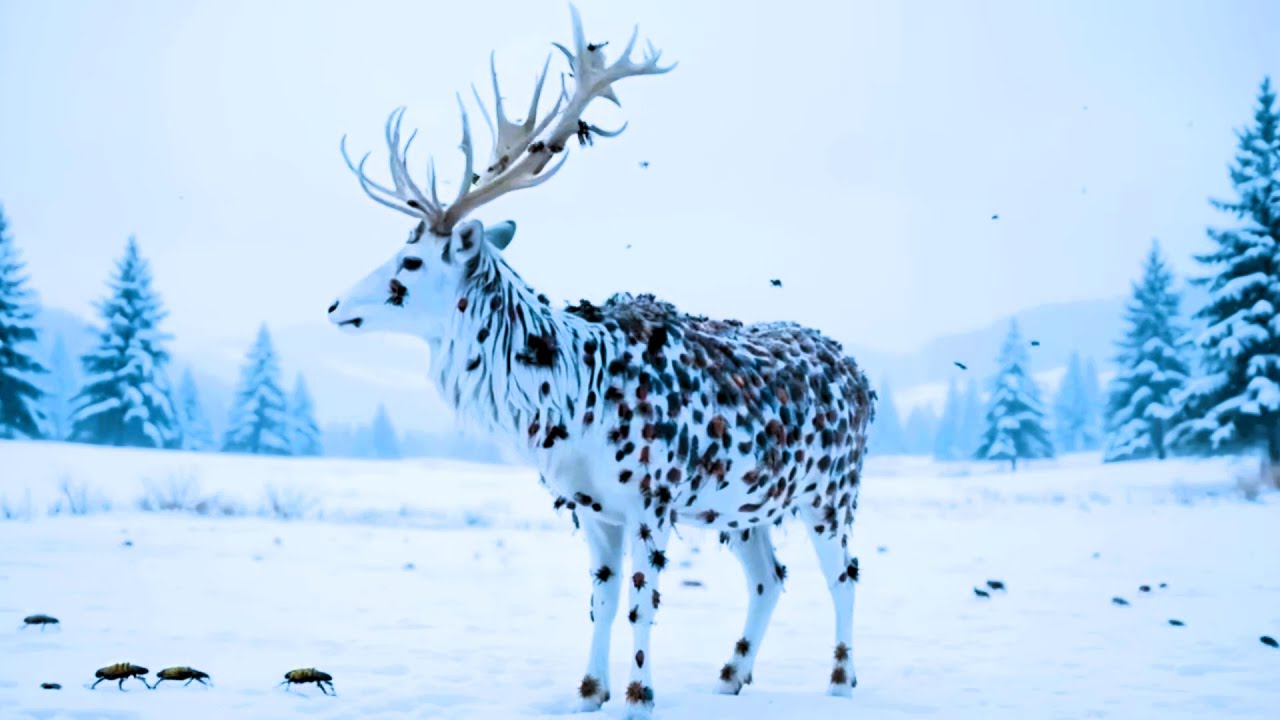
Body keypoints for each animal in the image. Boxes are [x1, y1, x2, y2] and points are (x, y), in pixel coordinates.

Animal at [328, 6, 874, 717]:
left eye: (411, 262)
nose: (336, 304)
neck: (565, 401)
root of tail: (861, 375)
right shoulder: (590, 507)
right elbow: (604, 601)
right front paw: (590, 691)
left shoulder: (653, 500)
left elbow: (643, 606)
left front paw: (640, 695)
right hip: (743, 508)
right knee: (769, 577)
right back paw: (731, 674)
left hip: (832, 495)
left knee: (845, 576)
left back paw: (841, 678)